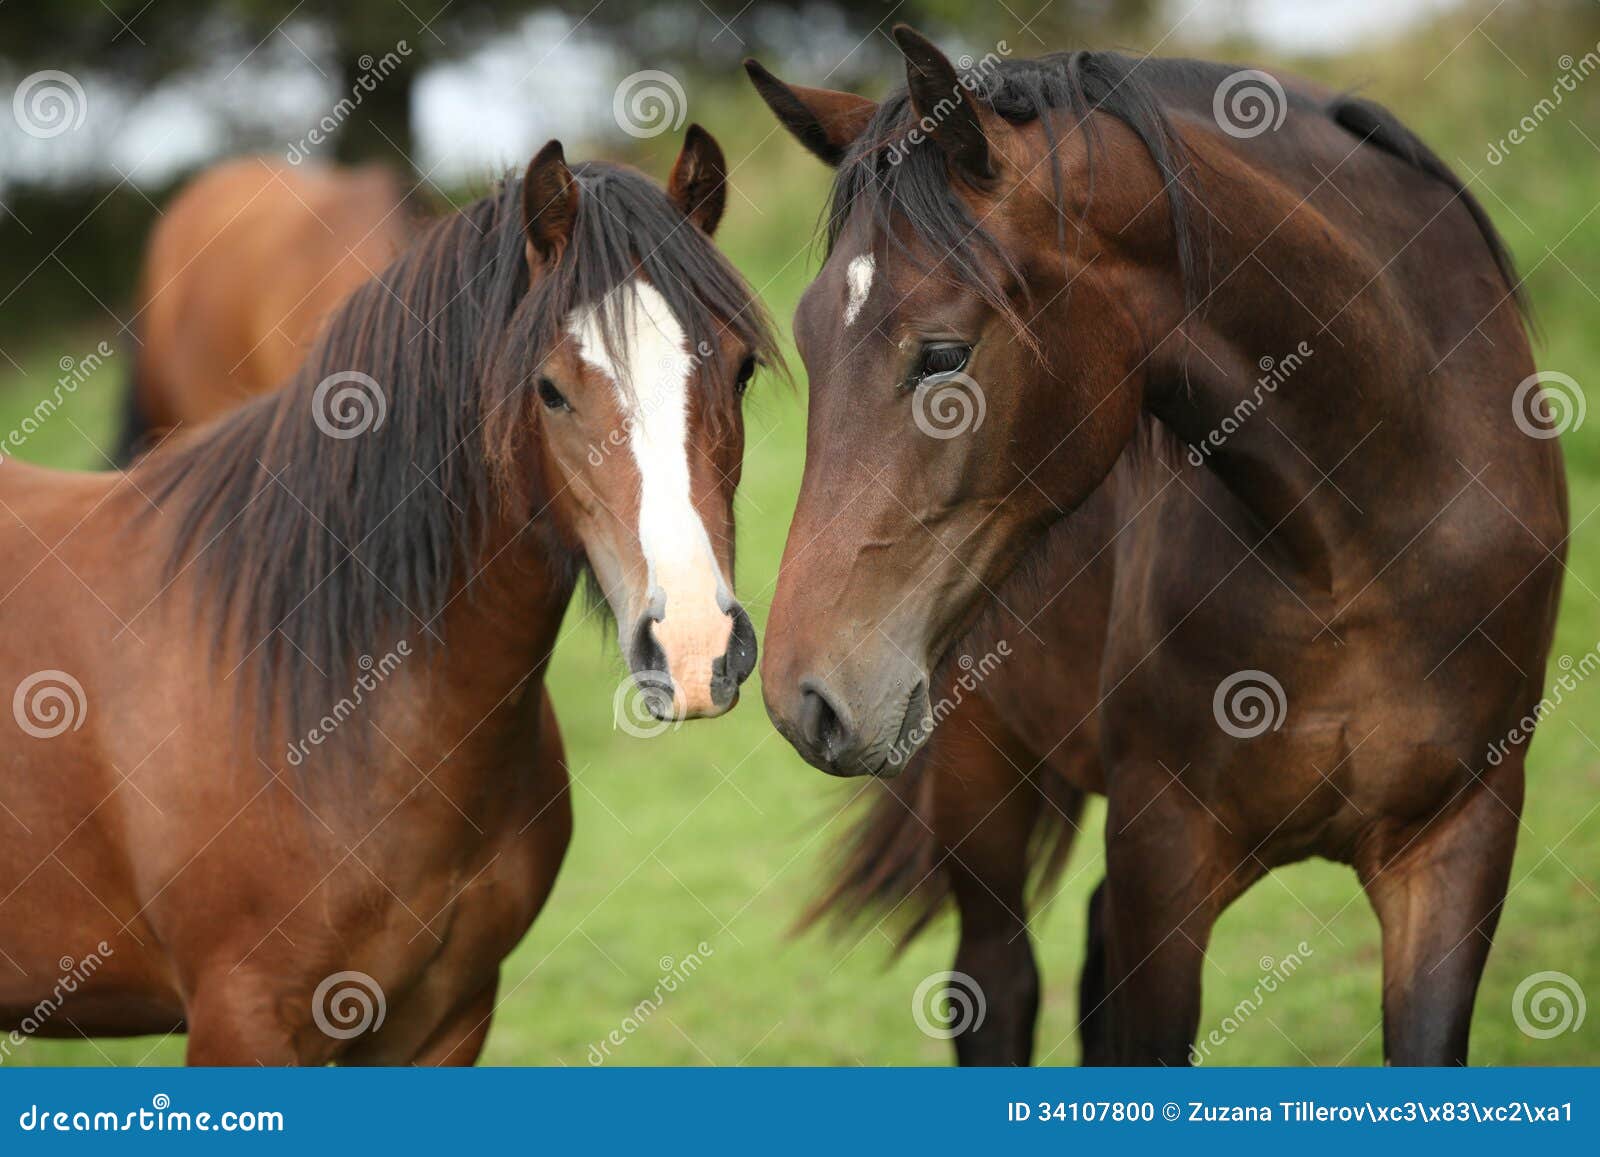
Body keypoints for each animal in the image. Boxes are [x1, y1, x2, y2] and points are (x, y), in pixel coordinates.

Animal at [749, 28, 1566, 1065]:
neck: (1364, 547)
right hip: (982, 775)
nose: (801, 698)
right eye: (808, 343)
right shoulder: (1164, 851)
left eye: (941, 356)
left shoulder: (1461, 839)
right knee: (997, 981)